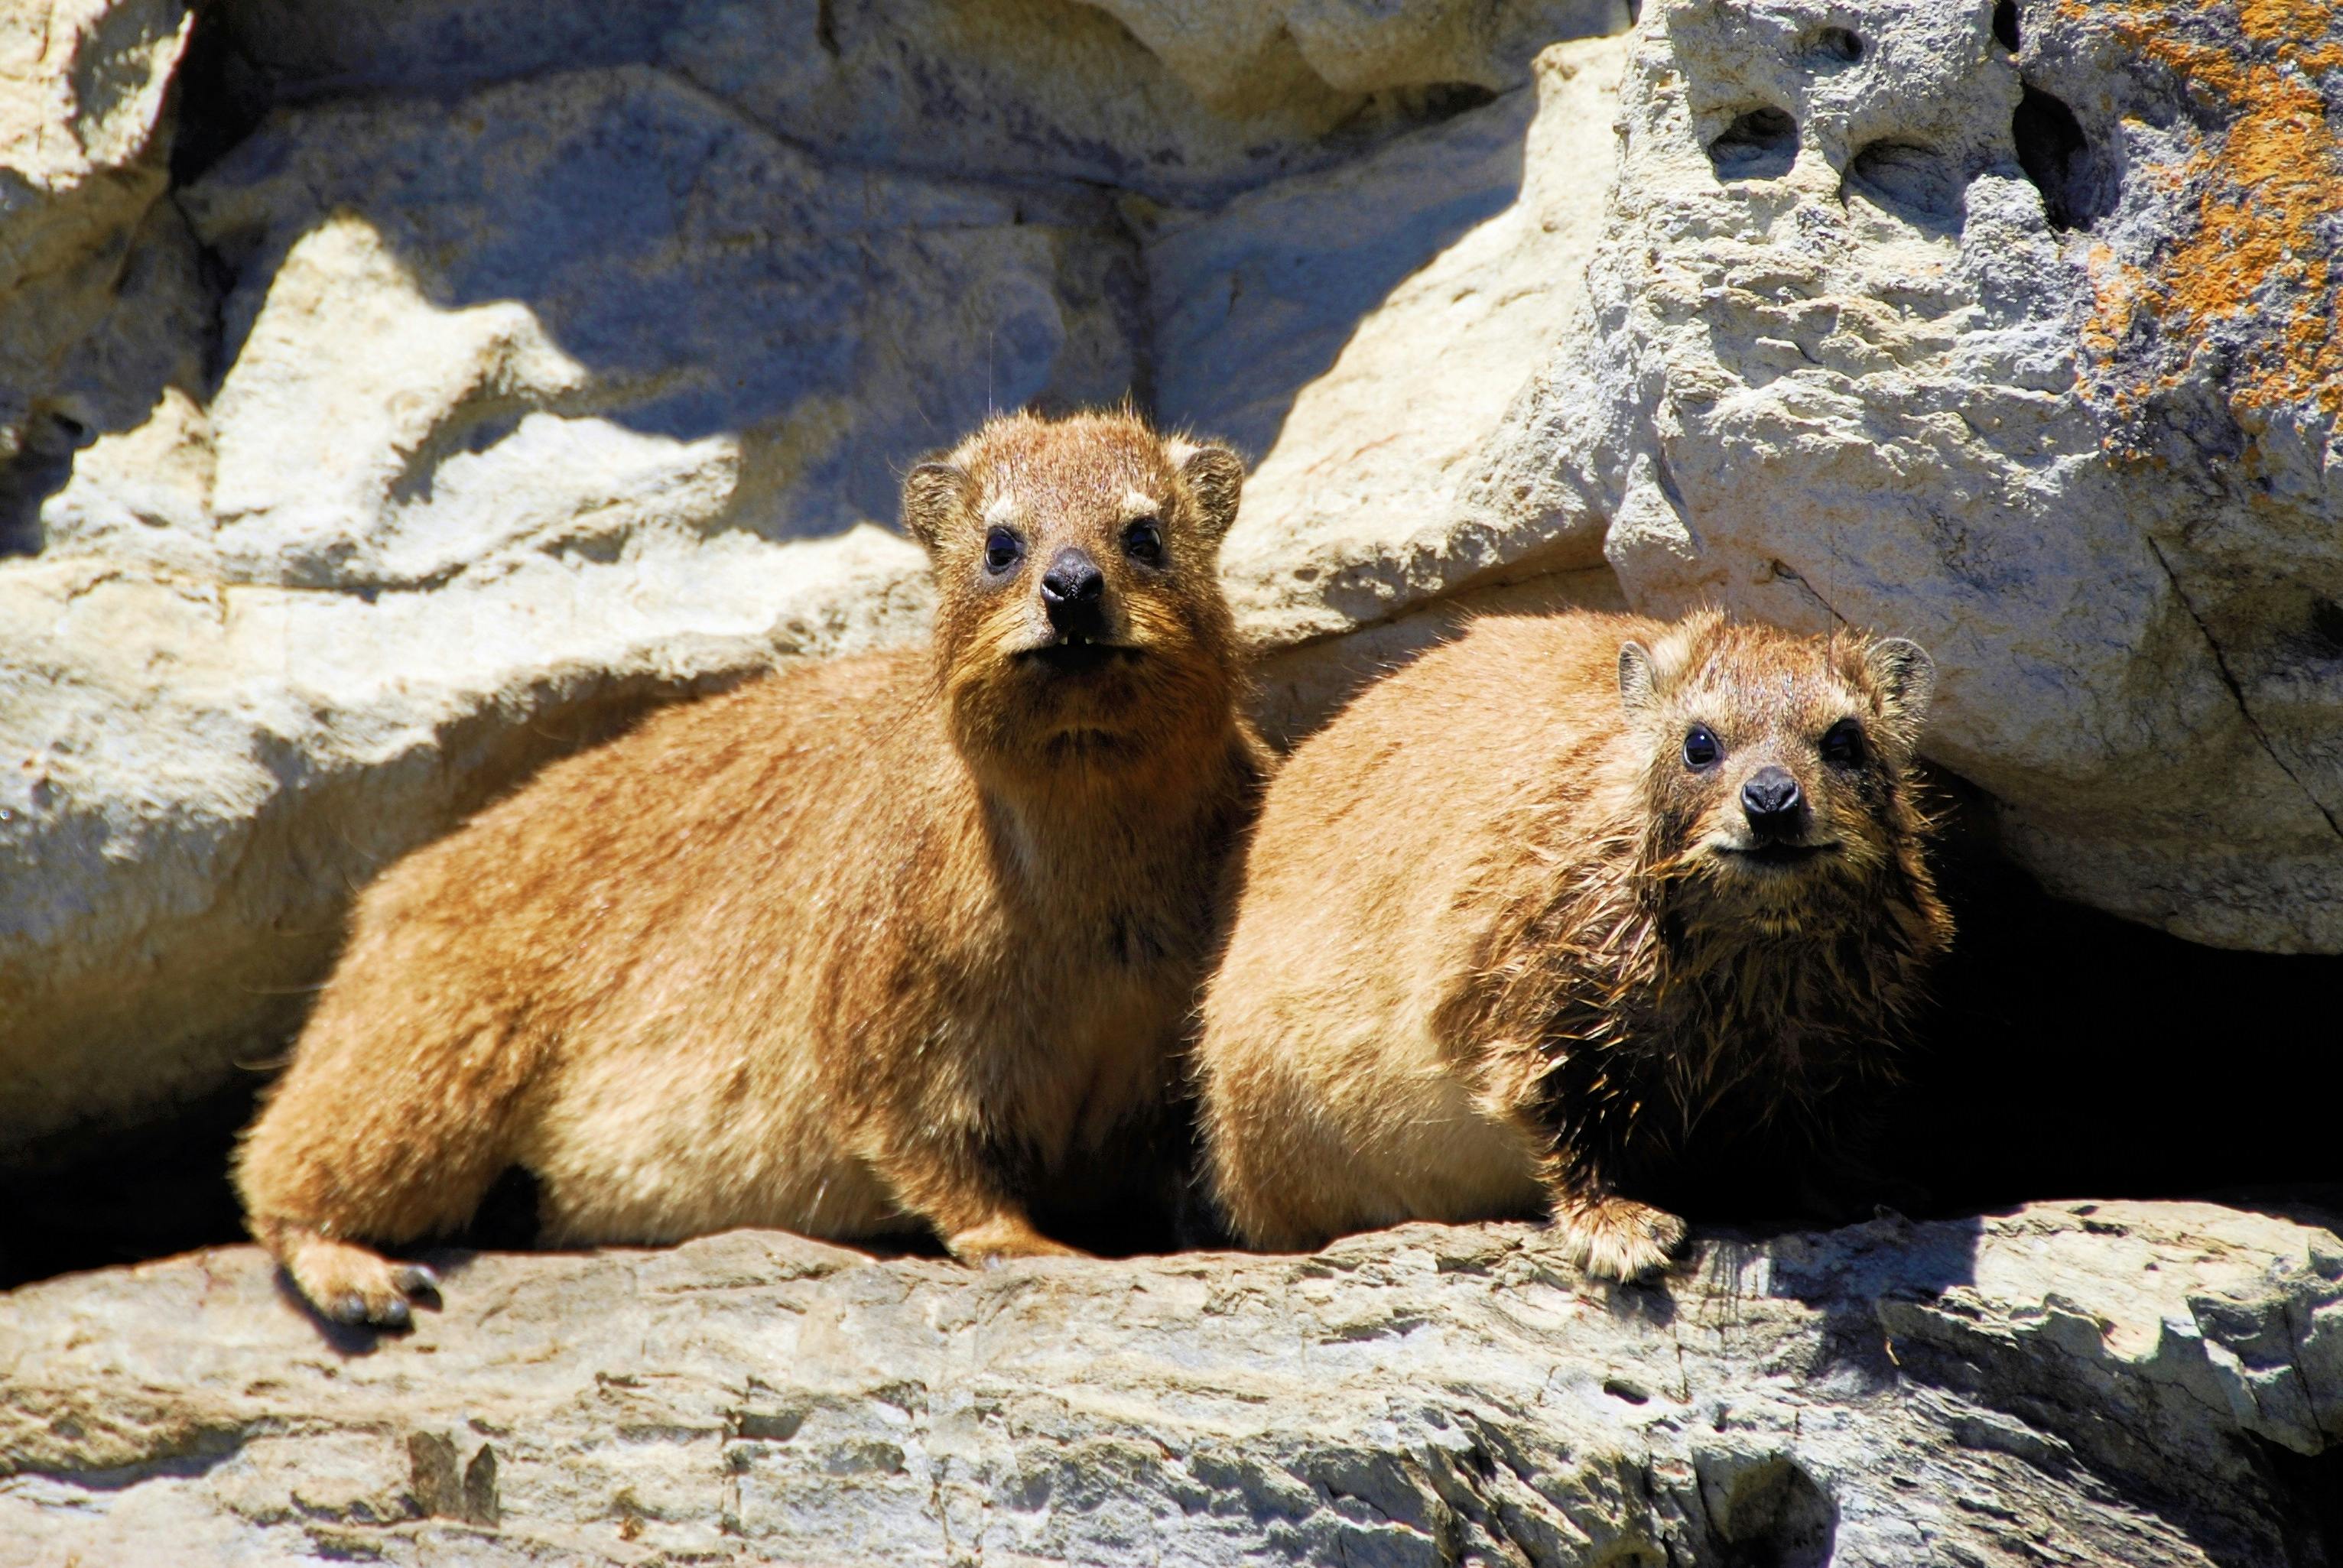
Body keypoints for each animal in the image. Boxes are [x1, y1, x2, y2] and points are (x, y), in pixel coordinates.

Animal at [236, 410, 1266, 1326]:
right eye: (1001, 544)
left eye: (1144, 534)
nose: (1071, 583)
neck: (1092, 916)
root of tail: (388, 896)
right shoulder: (883, 993)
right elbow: (921, 1137)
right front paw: (1026, 1242)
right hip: (426, 1044)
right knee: (281, 1164)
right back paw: (363, 1279)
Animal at [1193, 610, 1950, 1279]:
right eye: (1699, 743)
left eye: (1844, 740)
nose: (1771, 799)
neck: (1747, 974)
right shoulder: (1523, 999)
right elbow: (1558, 1119)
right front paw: (1622, 1231)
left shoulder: (1848, 1036)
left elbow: (1827, 1133)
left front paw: (1877, 1194)